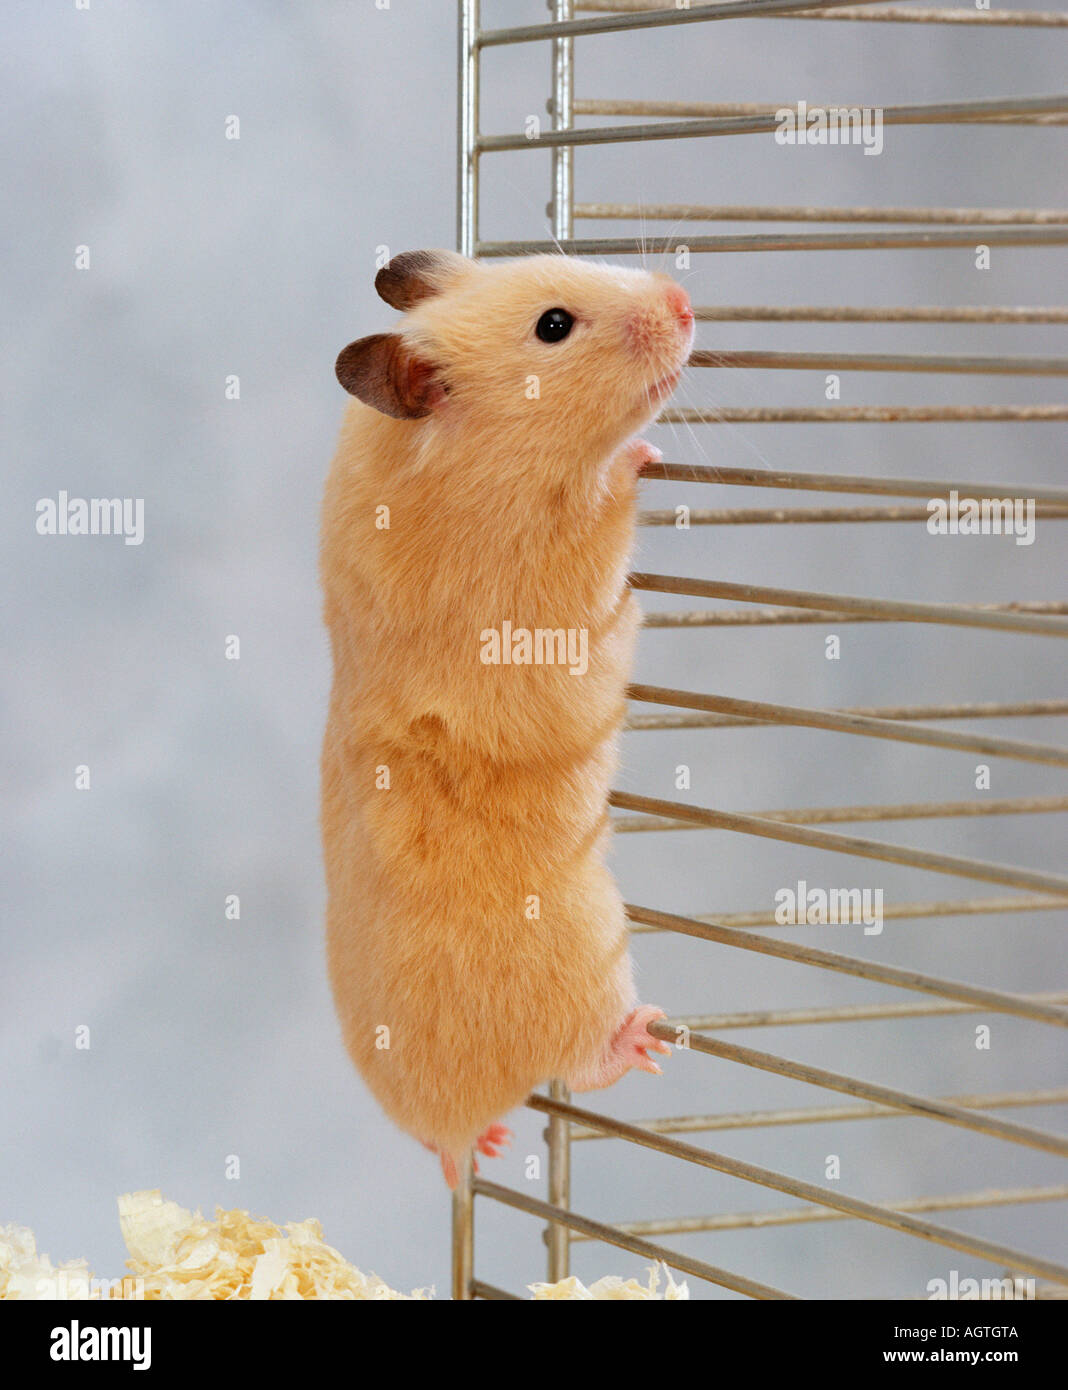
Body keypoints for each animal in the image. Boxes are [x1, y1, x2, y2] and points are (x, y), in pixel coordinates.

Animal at [321, 249, 694, 1187]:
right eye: (553, 326)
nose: (685, 299)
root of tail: (449, 1127)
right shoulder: (561, 569)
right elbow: (609, 523)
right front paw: (641, 453)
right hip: (584, 965)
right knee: (582, 1065)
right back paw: (640, 1042)